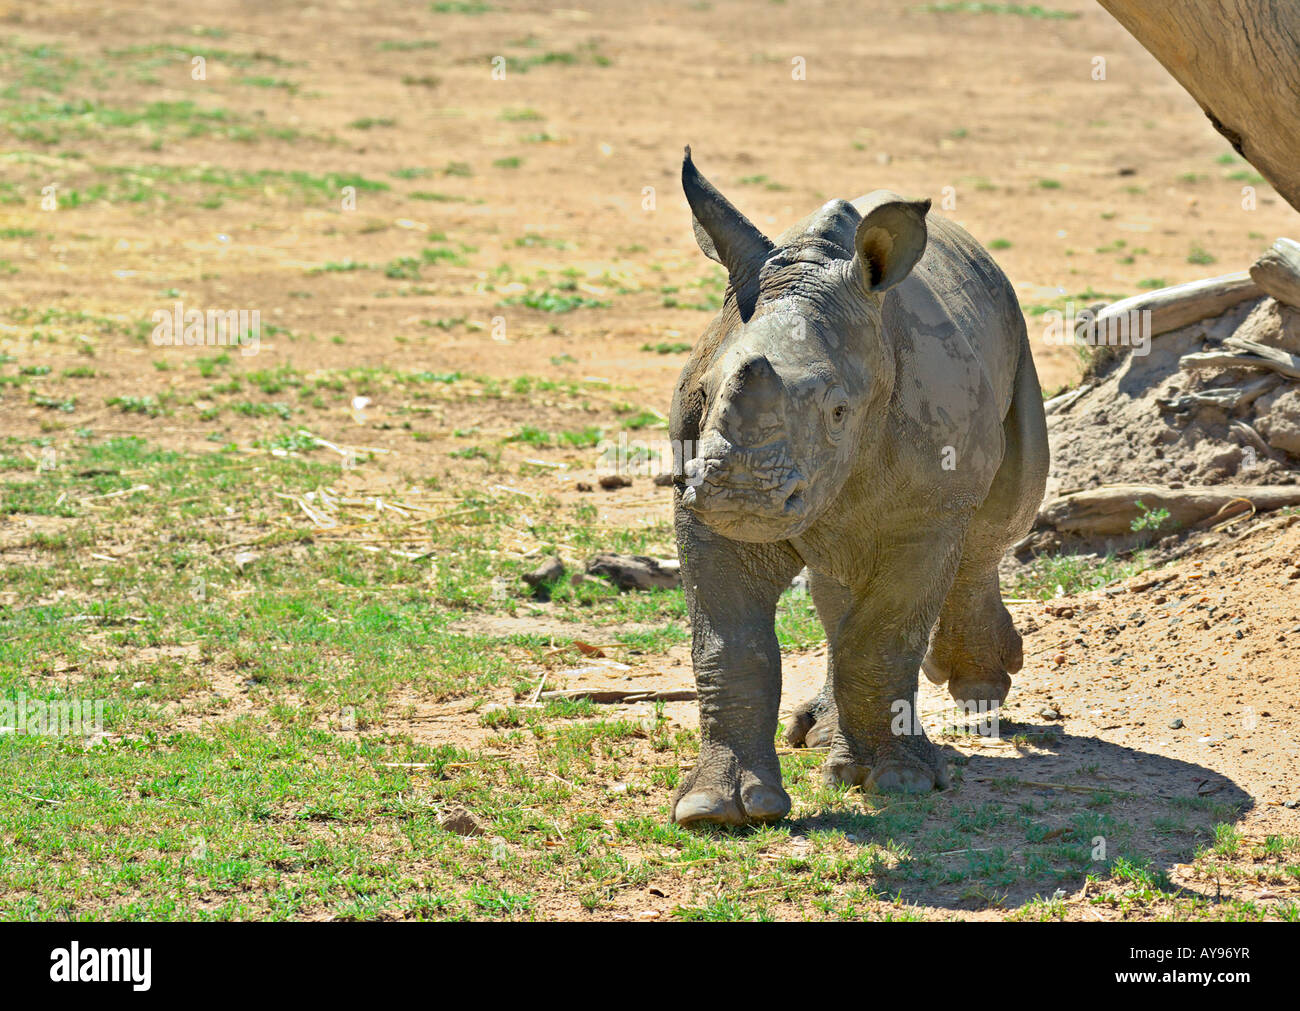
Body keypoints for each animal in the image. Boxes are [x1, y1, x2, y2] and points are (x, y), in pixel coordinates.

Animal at [669, 148, 1049, 826]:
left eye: (841, 412)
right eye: (707, 394)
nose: (740, 497)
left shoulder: (928, 513)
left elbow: (883, 638)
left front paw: (899, 781)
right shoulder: (696, 501)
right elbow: (730, 647)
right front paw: (718, 808)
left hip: (1014, 334)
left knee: (997, 522)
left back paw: (978, 694)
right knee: (838, 581)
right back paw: (821, 736)